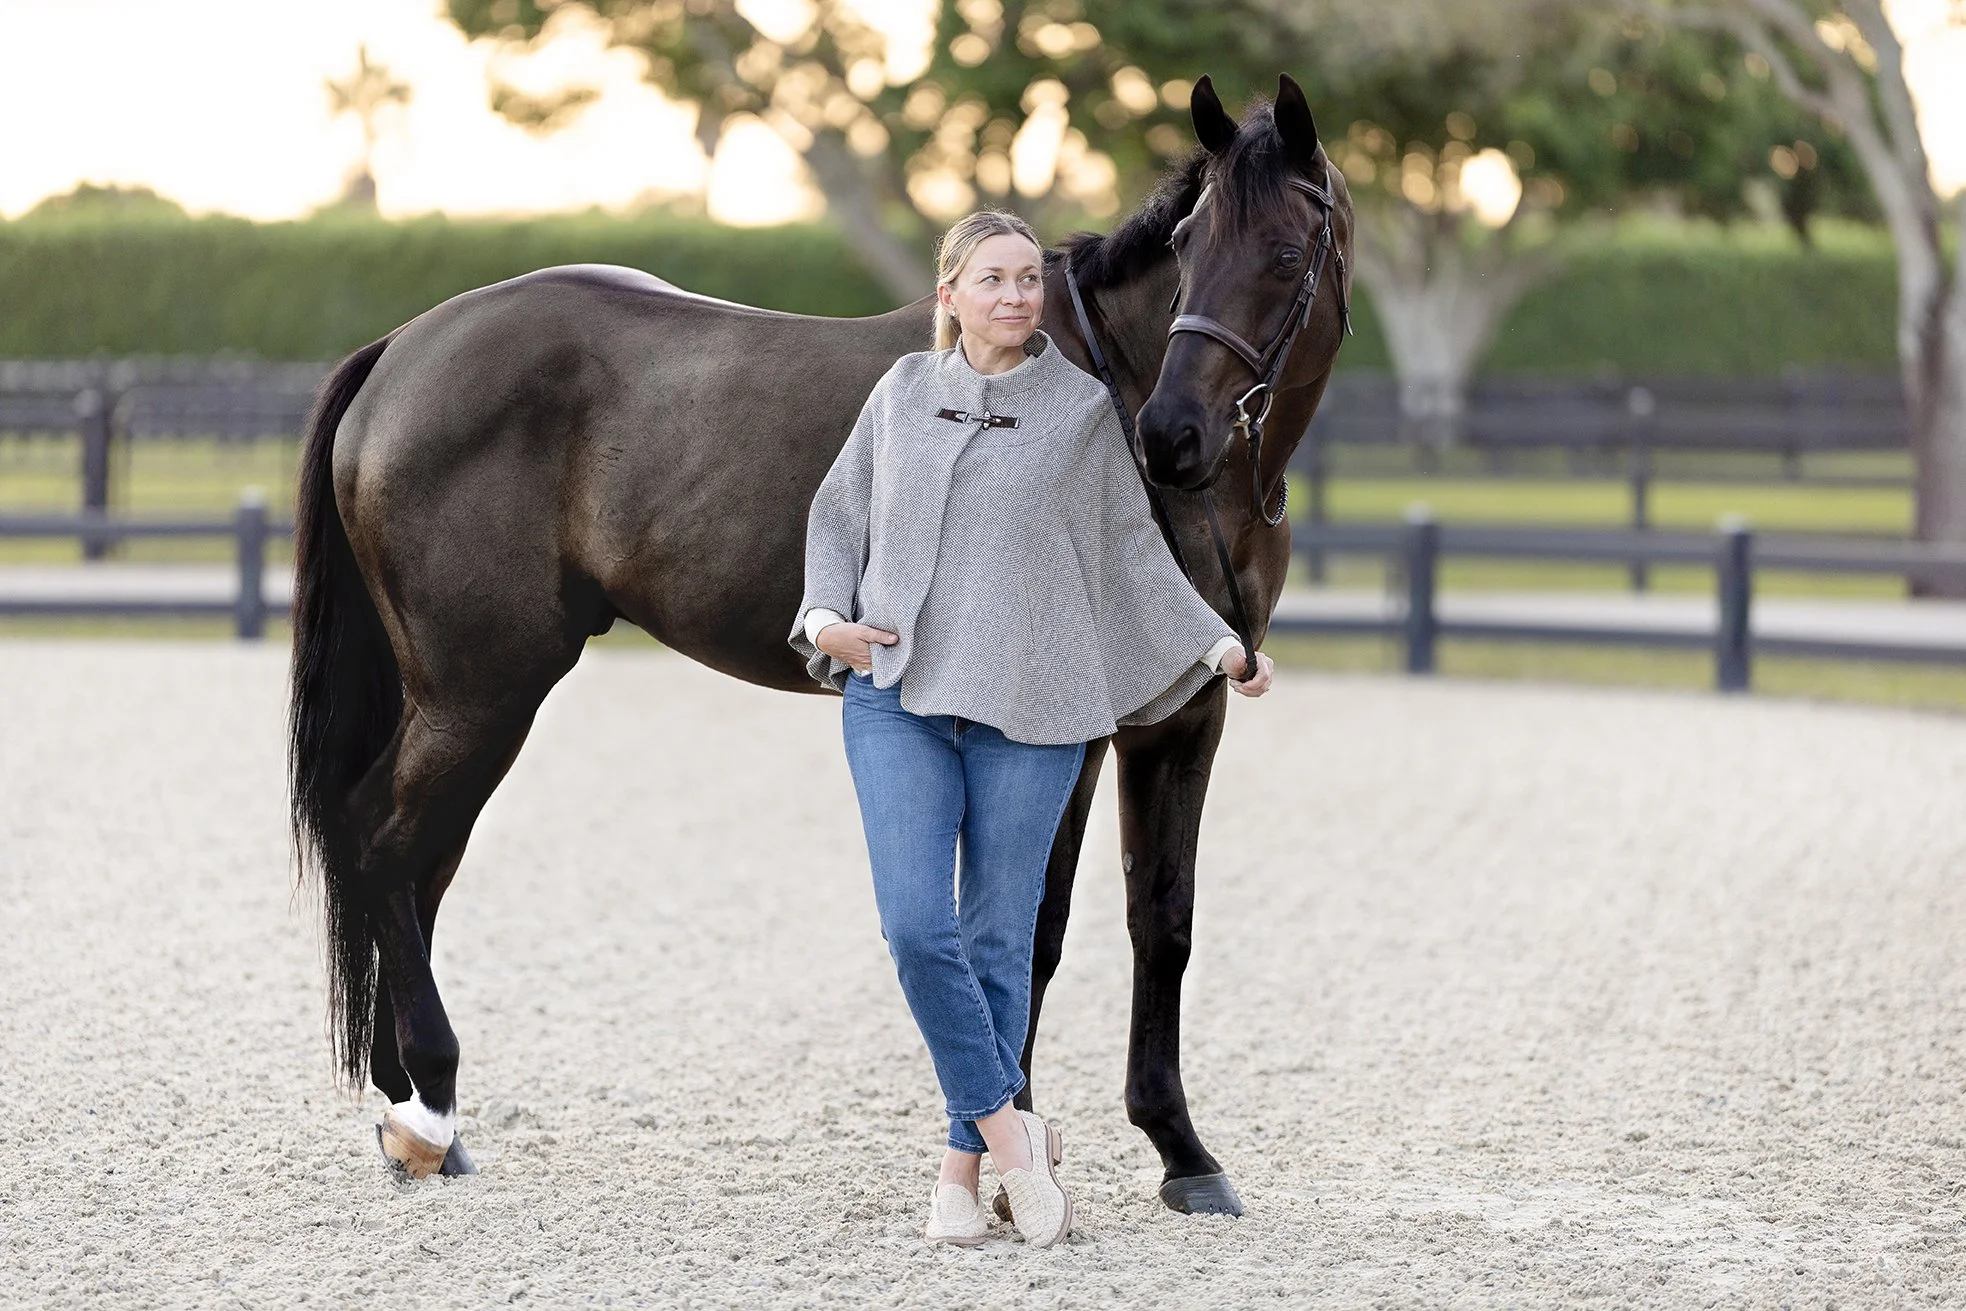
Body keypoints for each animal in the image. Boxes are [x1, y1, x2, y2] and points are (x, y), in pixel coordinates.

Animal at [288, 71, 1353, 1216]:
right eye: (1191, 245)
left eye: (1283, 254)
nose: (1171, 438)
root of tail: (400, 351)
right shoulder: (1065, 730)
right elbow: (1033, 927)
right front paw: (1011, 1146)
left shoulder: (1185, 718)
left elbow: (1162, 920)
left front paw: (1182, 1152)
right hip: (479, 691)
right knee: (386, 844)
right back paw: (429, 1104)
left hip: (460, 697)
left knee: (415, 863)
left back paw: (412, 1110)